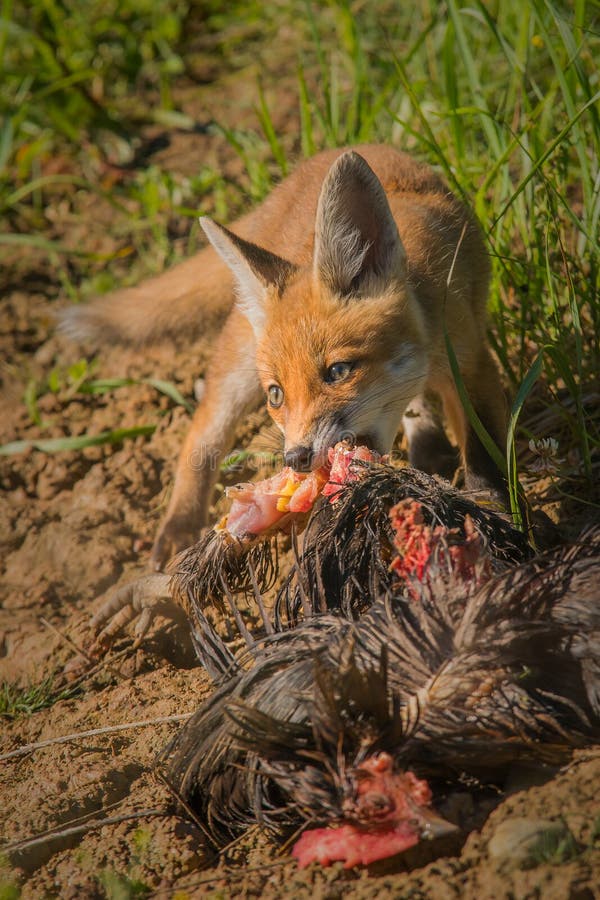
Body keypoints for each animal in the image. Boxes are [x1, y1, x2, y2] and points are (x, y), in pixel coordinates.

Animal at [61, 145, 508, 570]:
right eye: (276, 395)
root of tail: (300, 172)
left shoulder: (472, 360)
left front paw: (491, 508)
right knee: (201, 432)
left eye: (338, 371)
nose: (296, 458)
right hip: (237, 362)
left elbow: (484, 449)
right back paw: (178, 527)